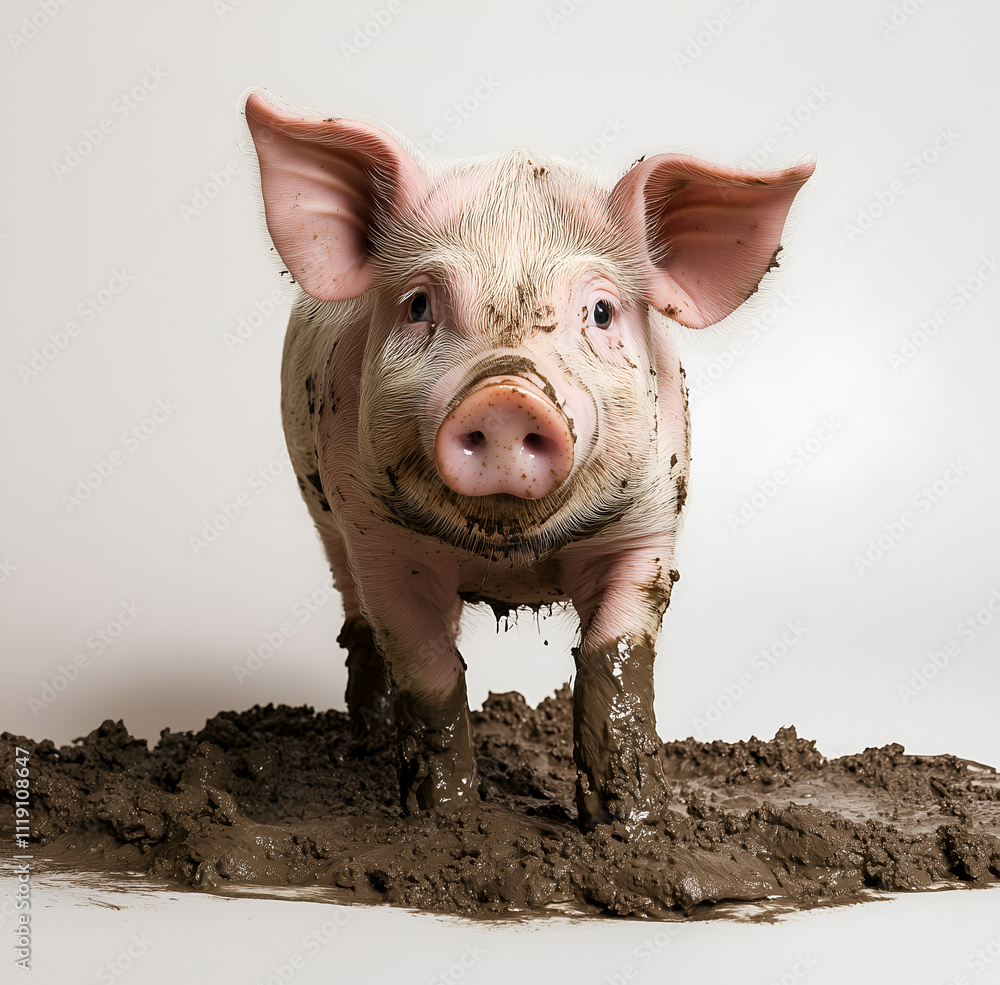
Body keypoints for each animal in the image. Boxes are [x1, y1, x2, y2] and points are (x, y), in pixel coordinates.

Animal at [242, 89, 813, 832]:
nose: (507, 394)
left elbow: (616, 659)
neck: (511, 555)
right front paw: (446, 821)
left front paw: (630, 827)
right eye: (419, 304)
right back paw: (363, 740)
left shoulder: (649, 526)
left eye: (600, 312)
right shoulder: (377, 538)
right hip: (326, 519)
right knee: (357, 615)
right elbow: (427, 665)